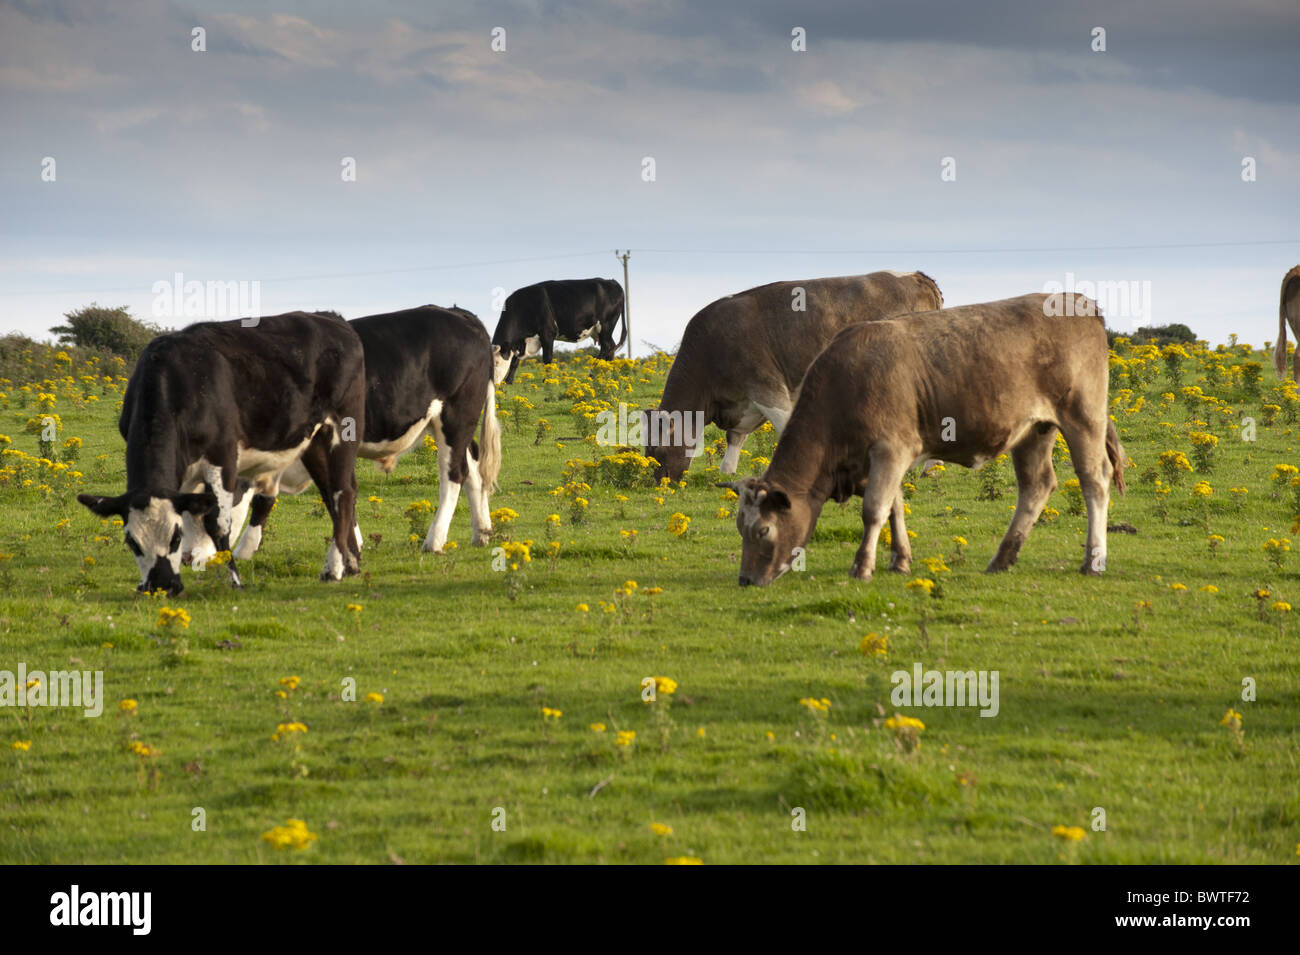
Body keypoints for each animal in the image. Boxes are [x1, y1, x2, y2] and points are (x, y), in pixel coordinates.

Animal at [77, 311, 366, 595]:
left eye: (175, 537)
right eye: (132, 542)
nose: (161, 585)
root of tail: (331, 319)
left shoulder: (223, 456)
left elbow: (217, 523)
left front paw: (233, 580)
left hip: (341, 429)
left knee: (343, 494)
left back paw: (333, 568)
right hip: (313, 441)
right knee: (331, 495)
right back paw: (351, 563)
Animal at [184, 304, 502, 563]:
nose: (188, 558)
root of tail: (459, 313)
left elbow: (330, 491)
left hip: (457, 415)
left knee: (453, 474)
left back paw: (434, 540)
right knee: (472, 466)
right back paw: (481, 532)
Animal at [491, 278, 625, 384]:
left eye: (496, 363)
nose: (494, 383)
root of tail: (612, 282)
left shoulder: (547, 332)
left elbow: (547, 358)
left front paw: (547, 380)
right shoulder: (520, 341)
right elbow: (515, 361)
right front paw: (508, 382)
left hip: (605, 326)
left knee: (606, 348)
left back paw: (593, 375)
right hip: (604, 331)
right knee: (611, 348)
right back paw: (607, 375)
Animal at [645, 271, 943, 482]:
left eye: (658, 451)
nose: (661, 482)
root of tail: (917, 277)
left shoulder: (766, 384)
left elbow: (783, 425)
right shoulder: (744, 402)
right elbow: (735, 437)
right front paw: (727, 471)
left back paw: (931, 468)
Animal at [721, 293, 1127, 587]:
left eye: (763, 530)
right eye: (740, 527)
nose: (746, 580)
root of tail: (1078, 302)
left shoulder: (891, 449)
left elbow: (874, 509)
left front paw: (862, 566)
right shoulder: (887, 457)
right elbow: (895, 507)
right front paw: (899, 560)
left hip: (1083, 419)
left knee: (1094, 481)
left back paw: (1094, 560)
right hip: (1034, 431)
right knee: (1037, 486)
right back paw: (1002, 558)